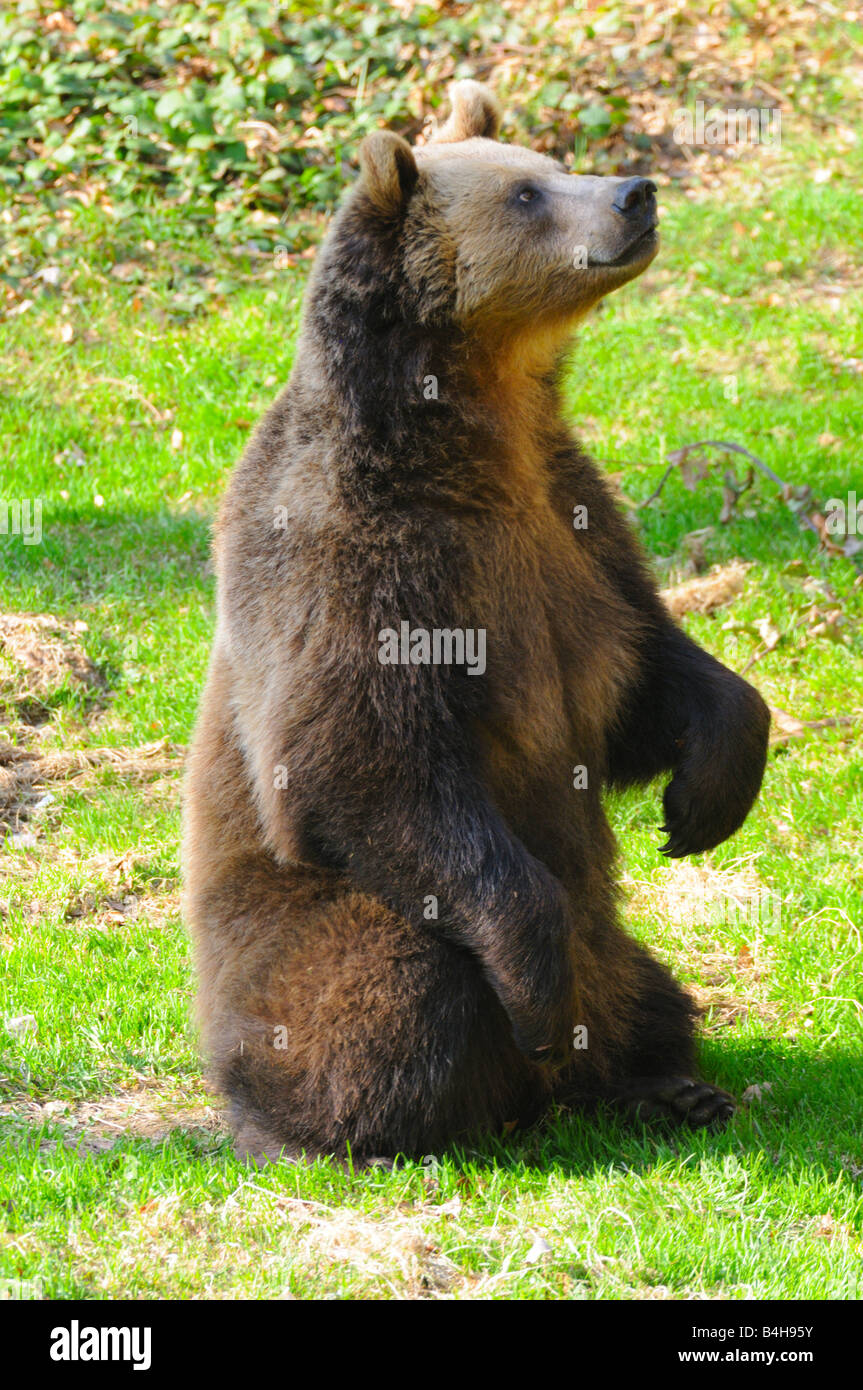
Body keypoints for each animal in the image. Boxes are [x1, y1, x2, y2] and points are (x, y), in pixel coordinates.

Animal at [181, 80, 771, 1163]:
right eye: (527, 195)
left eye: (551, 162)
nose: (634, 191)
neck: (477, 427)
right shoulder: (357, 558)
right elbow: (360, 755)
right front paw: (534, 989)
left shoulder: (573, 531)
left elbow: (642, 675)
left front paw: (706, 794)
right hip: (298, 934)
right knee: (403, 983)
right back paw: (355, 1121)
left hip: (616, 946)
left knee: (647, 988)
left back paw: (660, 1083)